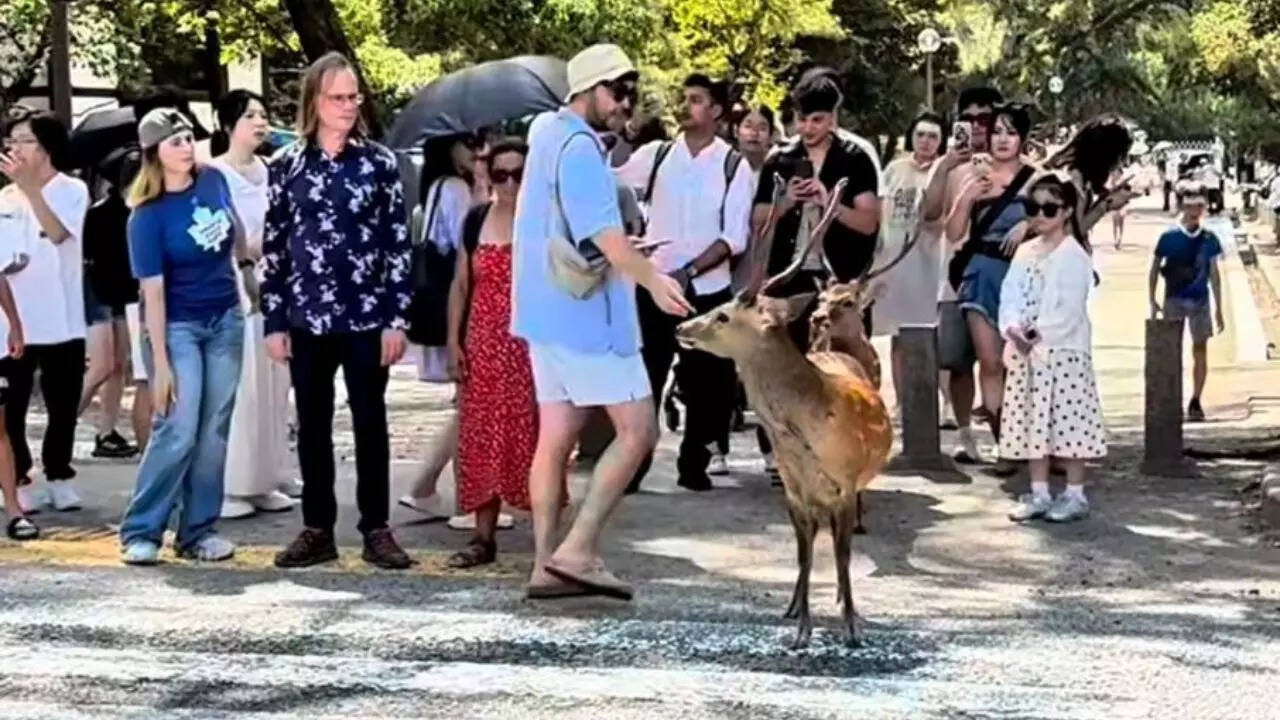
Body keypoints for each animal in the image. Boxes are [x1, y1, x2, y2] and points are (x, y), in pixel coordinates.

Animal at [676, 176, 920, 648]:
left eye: (722, 316)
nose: (682, 326)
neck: (807, 434)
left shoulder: (845, 481)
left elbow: (842, 554)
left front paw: (851, 626)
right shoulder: (793, 488)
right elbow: (804, 554)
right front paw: (801, 627)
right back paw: (793, 606)